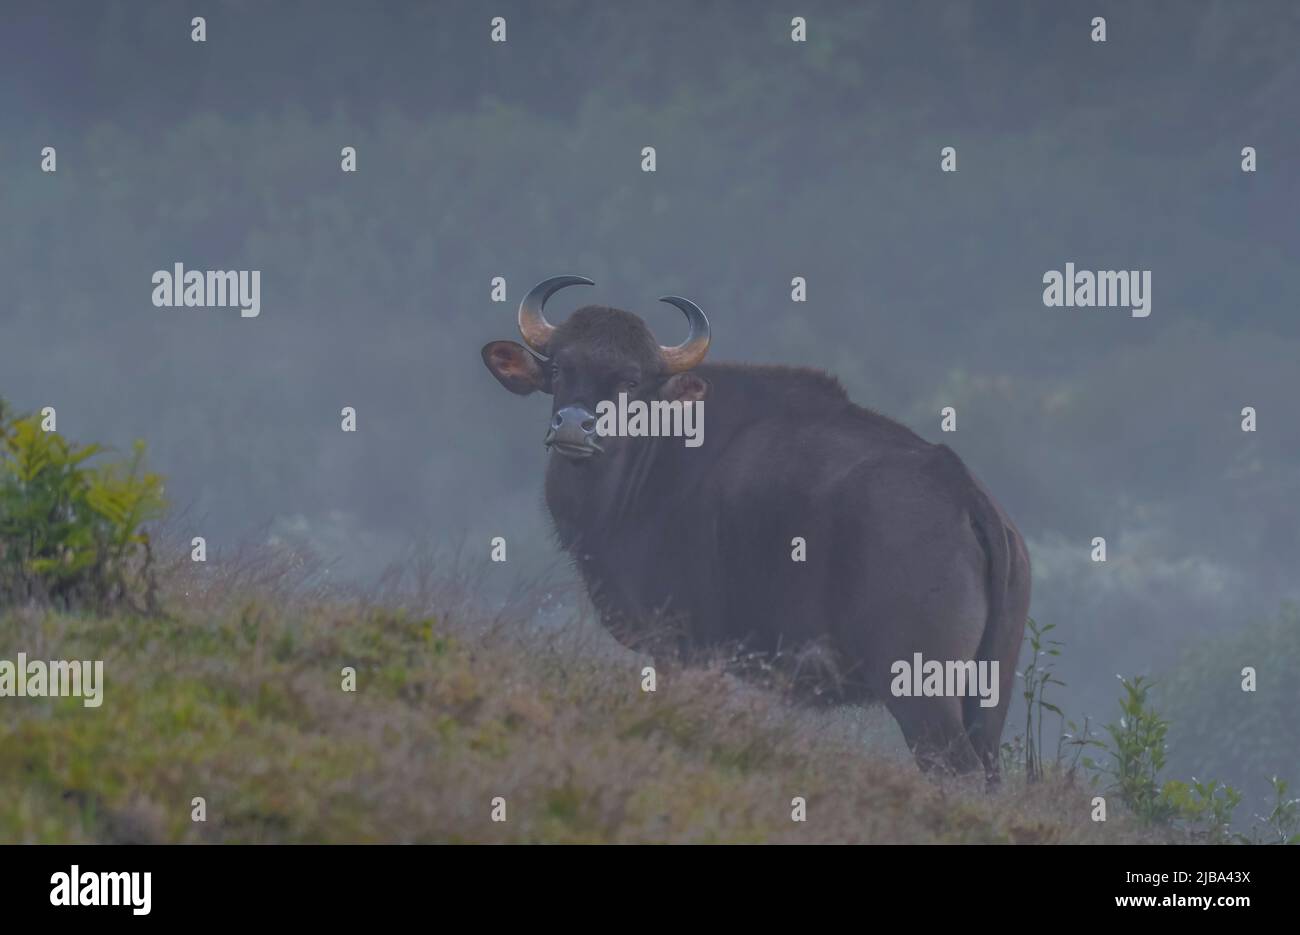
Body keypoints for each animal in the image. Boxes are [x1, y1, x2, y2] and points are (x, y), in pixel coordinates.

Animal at [482, 275, 1031, 778]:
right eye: (560, 368)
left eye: (629, 382)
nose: (575, 427)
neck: (647, 464)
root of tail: (964, 491)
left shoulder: (678, 646)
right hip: (988, 700)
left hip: (922, 692)